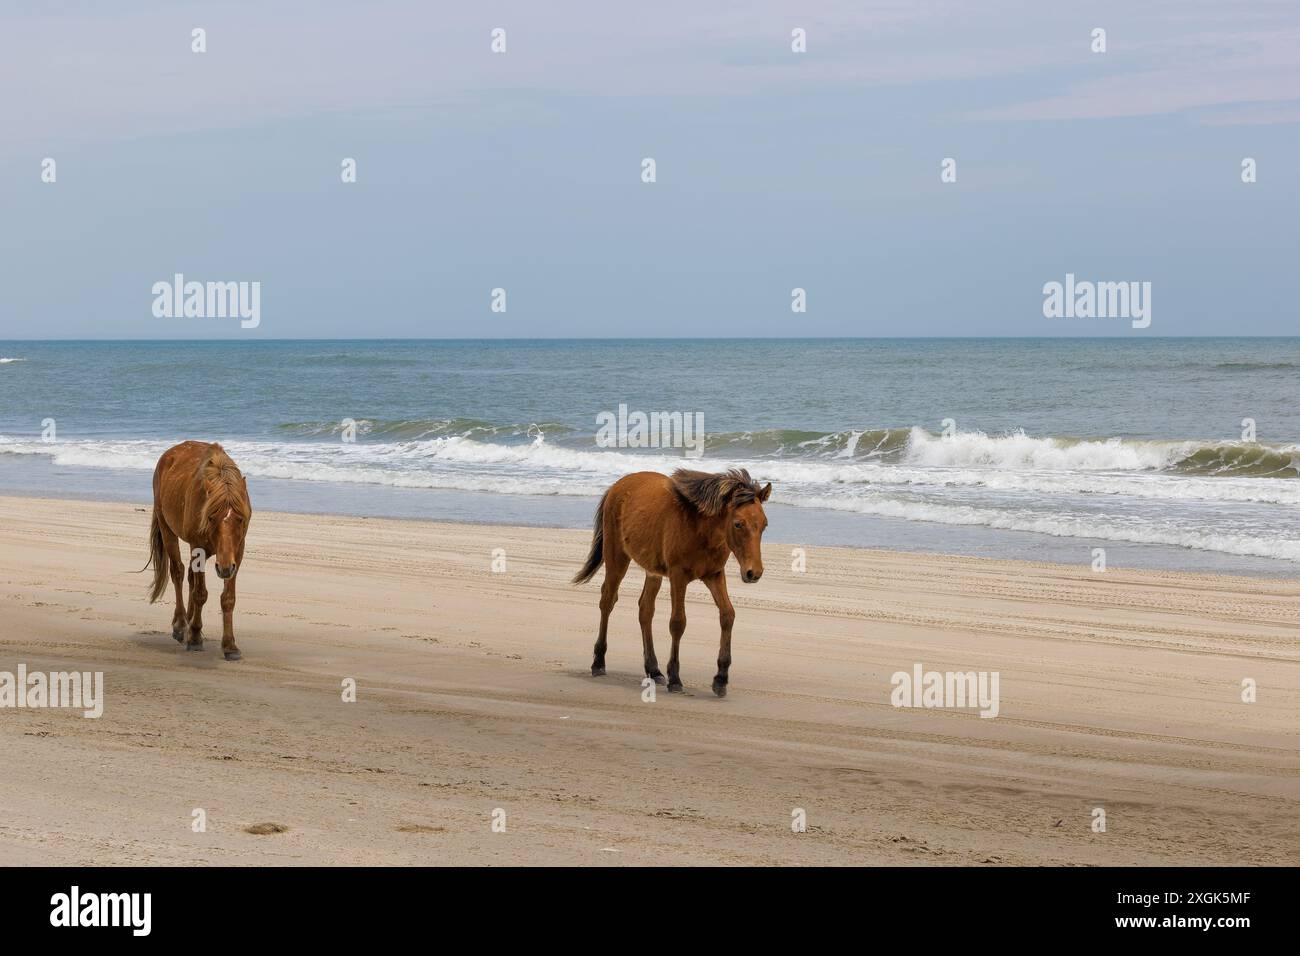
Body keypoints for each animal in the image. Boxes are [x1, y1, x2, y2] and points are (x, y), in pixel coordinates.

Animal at [145, 441, 252, 660]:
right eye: (211, 518)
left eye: (240, 519)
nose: (224, 568)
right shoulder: (198, 548)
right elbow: (200, 593)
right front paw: (194, 638)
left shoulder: (237, 553)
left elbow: (227, 598)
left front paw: (230, 646)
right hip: (168, 530)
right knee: (178, 572)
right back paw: (181, 625)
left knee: (190, 578)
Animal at [573, 468, 771, 696]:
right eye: (738, 524)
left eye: (764, 525)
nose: (753, 573)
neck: (700, 527)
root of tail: (617, 486)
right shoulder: (678, 576)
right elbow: (678, 622)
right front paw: (675, 678)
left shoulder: (714, 575)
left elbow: (728, 615)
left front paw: (721, 679)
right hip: (617, 558)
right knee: (607, 601)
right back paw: (598, 662)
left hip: (653, 572)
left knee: (645, 610)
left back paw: (654, 670)